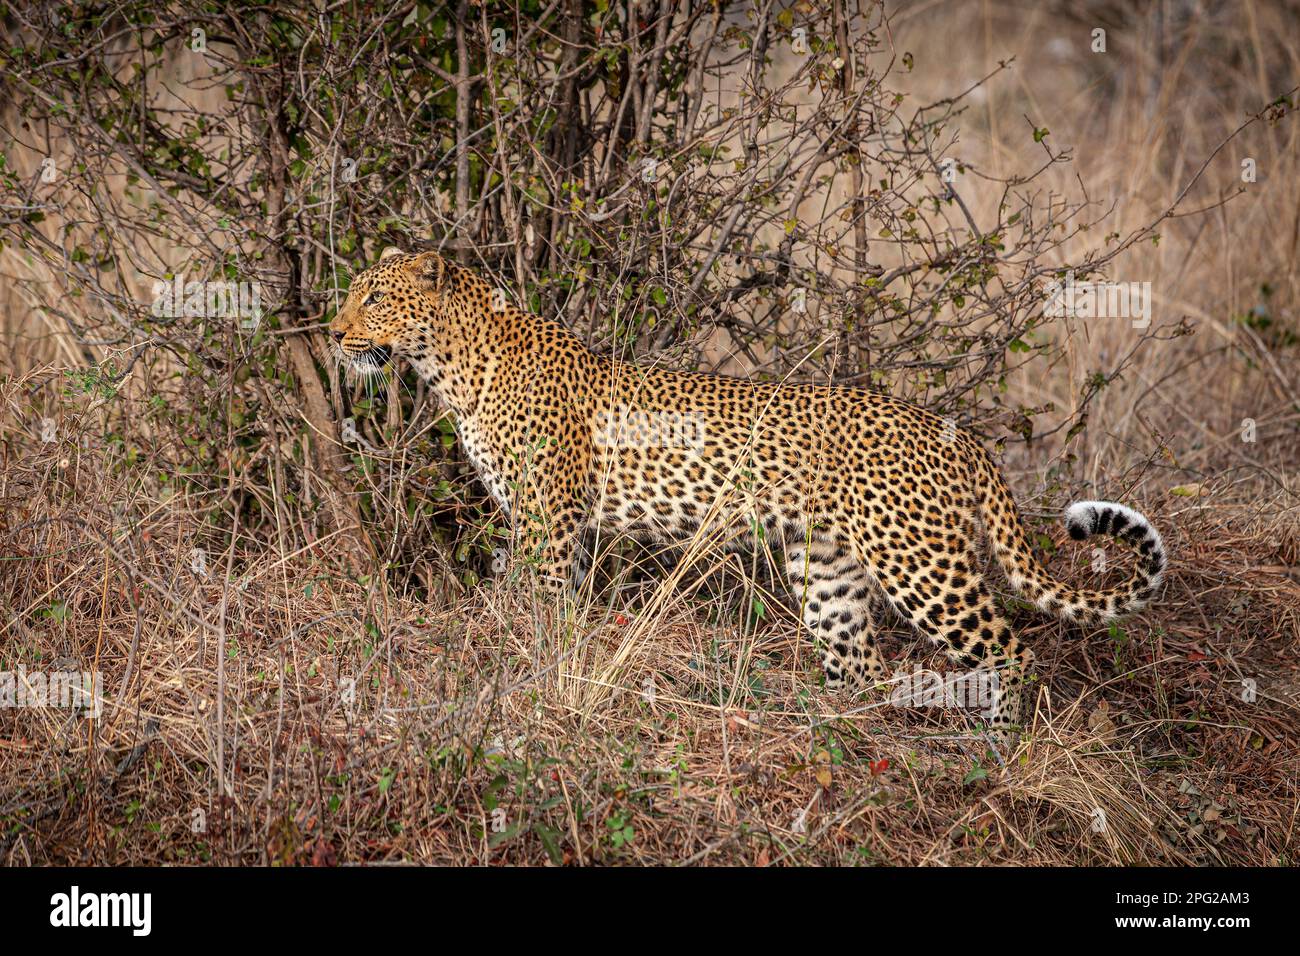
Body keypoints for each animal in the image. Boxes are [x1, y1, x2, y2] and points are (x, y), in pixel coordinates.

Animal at [329, 246, 1167, 733]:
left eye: (375, 299)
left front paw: (520, 676)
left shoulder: (547, 518)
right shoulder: (561, 527)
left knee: (1010, 650)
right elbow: (558, 609)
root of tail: (951, 430)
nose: (334, 336)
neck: (450, 365)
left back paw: (999, 746)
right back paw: (836, 731)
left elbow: (534, 606)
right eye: (354, 295)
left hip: (921, 565)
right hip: (826, 569)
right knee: (860, 664)